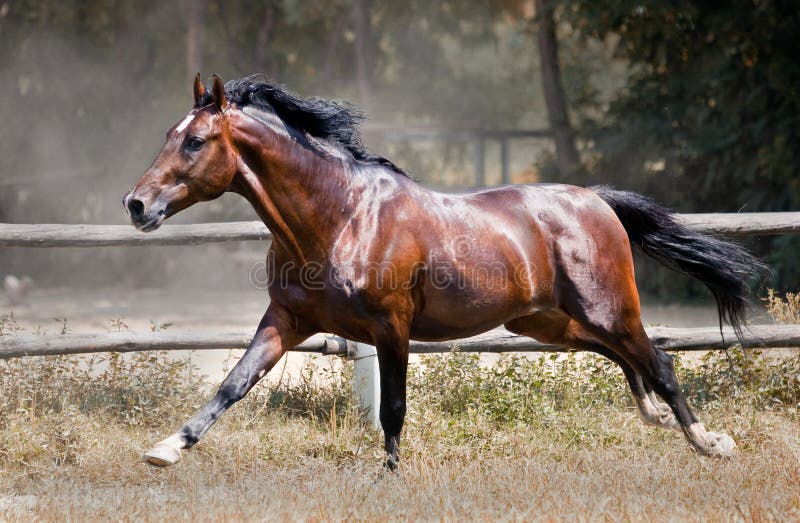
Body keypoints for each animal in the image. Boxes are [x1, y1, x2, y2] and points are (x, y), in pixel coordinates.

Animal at [124, 74, 765, 470]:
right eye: (168, 135)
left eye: (196, 141)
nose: (136, 204)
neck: (341, 216)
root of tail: (595, 200)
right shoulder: (287, 319)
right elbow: (234, 383)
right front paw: (166, 449)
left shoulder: (391, 327)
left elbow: (393, 409)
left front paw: (389, 479)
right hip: (546, 323)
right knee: (624, 358)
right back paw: (657, 419)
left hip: (609, 309)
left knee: (658, 361)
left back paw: (711, 443)